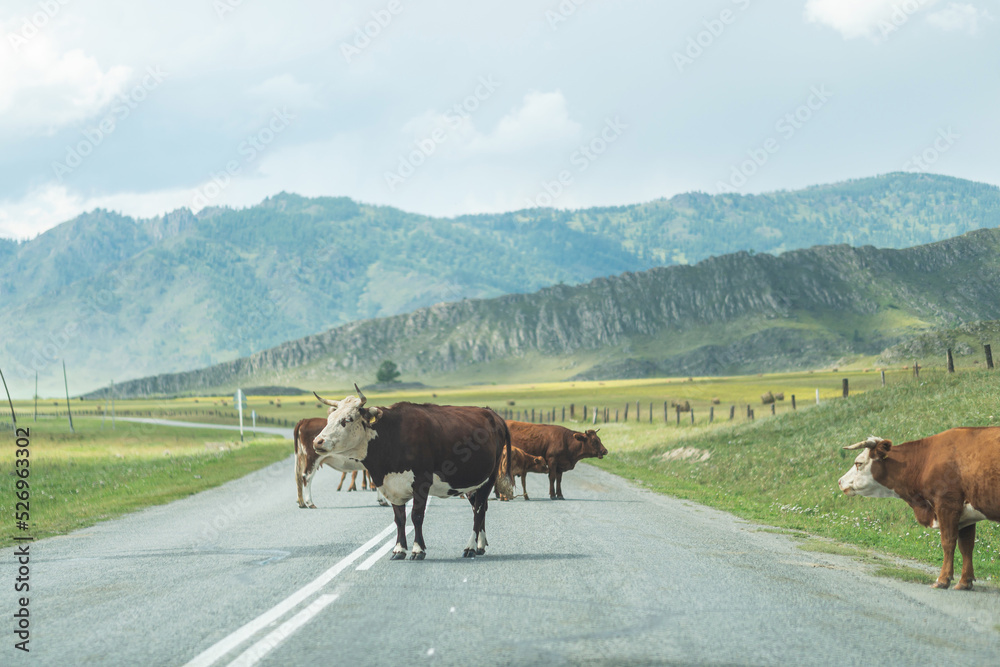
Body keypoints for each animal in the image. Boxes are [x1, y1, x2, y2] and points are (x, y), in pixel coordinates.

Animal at [313, 386, 514, 560]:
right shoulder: (391, 485)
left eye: (347, 419)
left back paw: (470, 547)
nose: (318, 441)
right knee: (480, 508)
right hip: (472, 481)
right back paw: (480, 545)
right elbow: (400, 519)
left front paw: (418, 550)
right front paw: (399, 550)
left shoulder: (421, 483)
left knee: (478, 511)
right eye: (329, 419)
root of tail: (491, 413)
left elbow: (416, 517)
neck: (392, 435)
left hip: (489, 478)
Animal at [838, 428, 1000, 590]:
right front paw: (965, 582)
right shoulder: (966, 516)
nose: (840, 481)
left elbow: (948, 542)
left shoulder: (947, 505)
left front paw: (943, 579)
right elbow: (966, 546)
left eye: (858, 463)